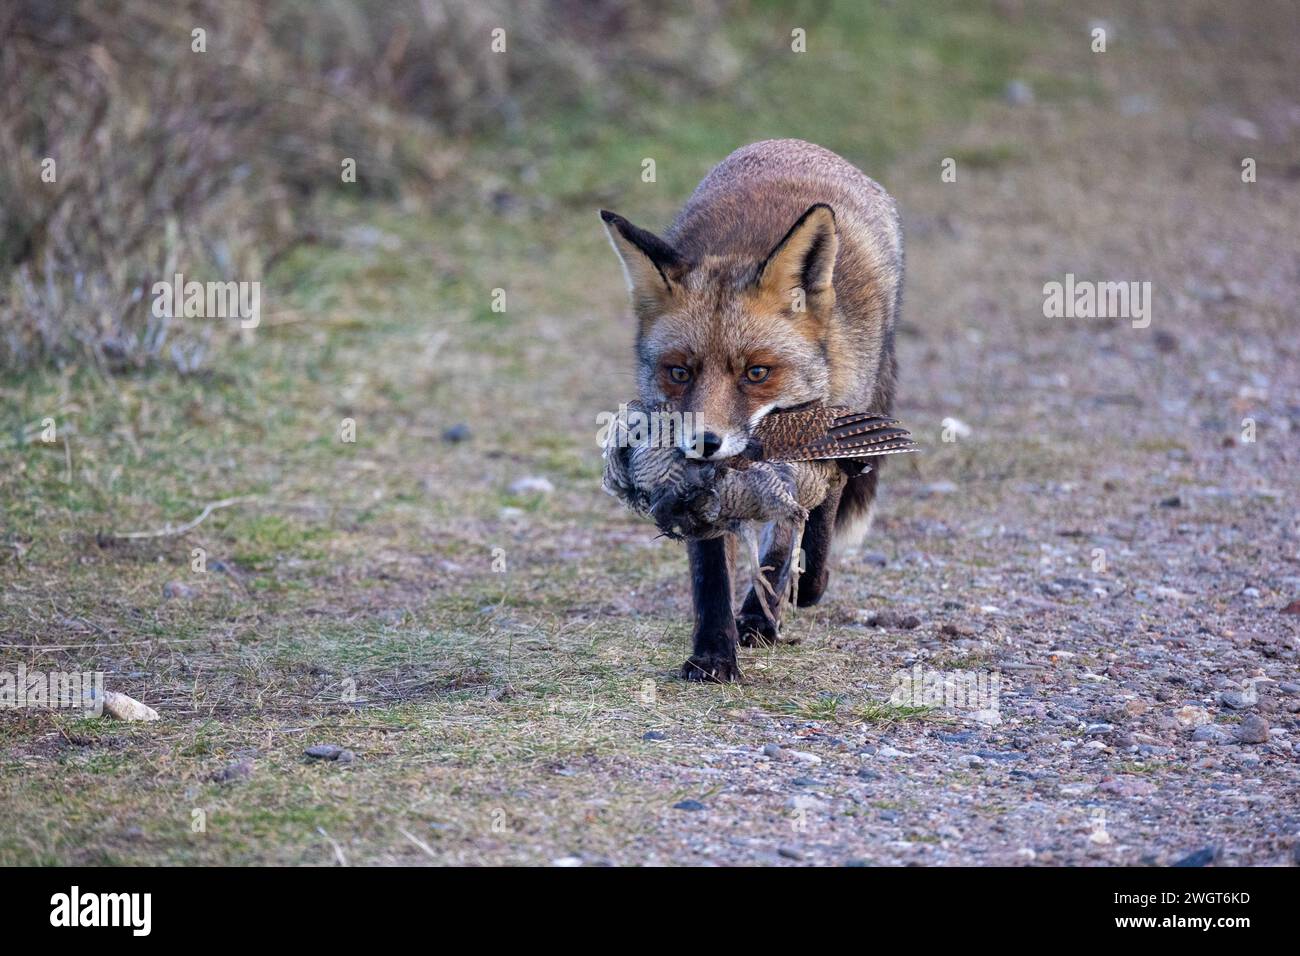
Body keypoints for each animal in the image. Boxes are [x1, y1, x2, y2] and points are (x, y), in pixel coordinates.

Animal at [600, 138, 902, 682]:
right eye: (679, 373)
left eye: (757, 373)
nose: (704, 443)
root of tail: (791, 144)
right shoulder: (699, 490)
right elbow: (710, 573)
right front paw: (714, 653)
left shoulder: (824, 443)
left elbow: (794, 534)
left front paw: (771, 611)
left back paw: (800, 590)